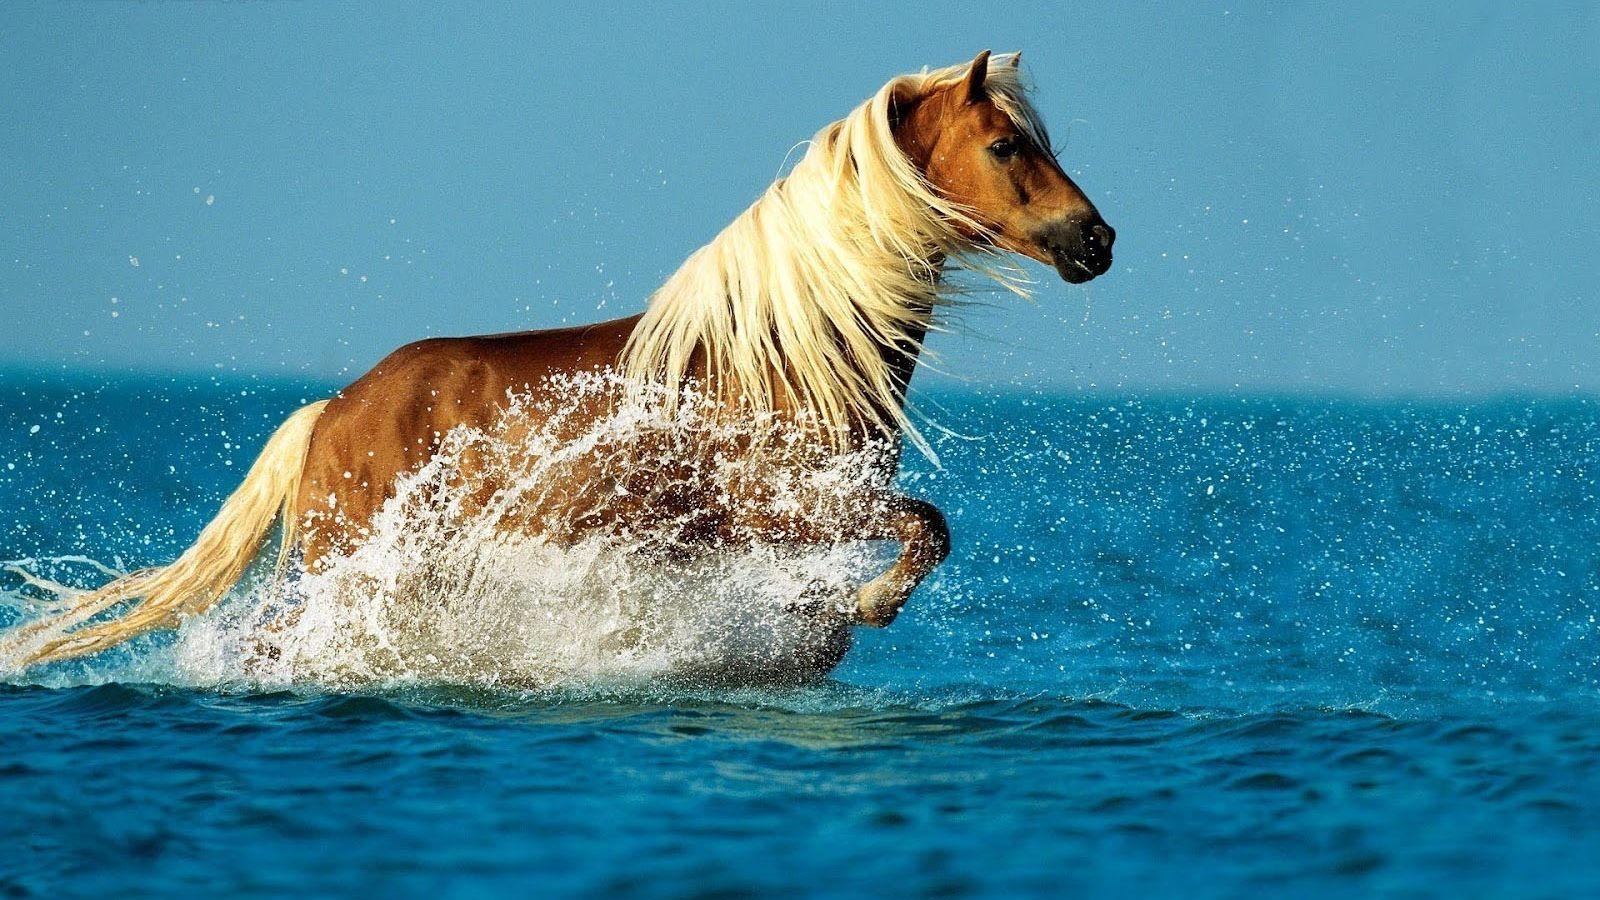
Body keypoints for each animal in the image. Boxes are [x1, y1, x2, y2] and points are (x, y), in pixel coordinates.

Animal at [1, 50, 1113, 673]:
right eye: (1007, 146)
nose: (1095, 241)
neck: (785, 354)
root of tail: (330, 411)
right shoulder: (785, 507)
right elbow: (927, 530)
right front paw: (867, 607)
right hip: (351, 571)